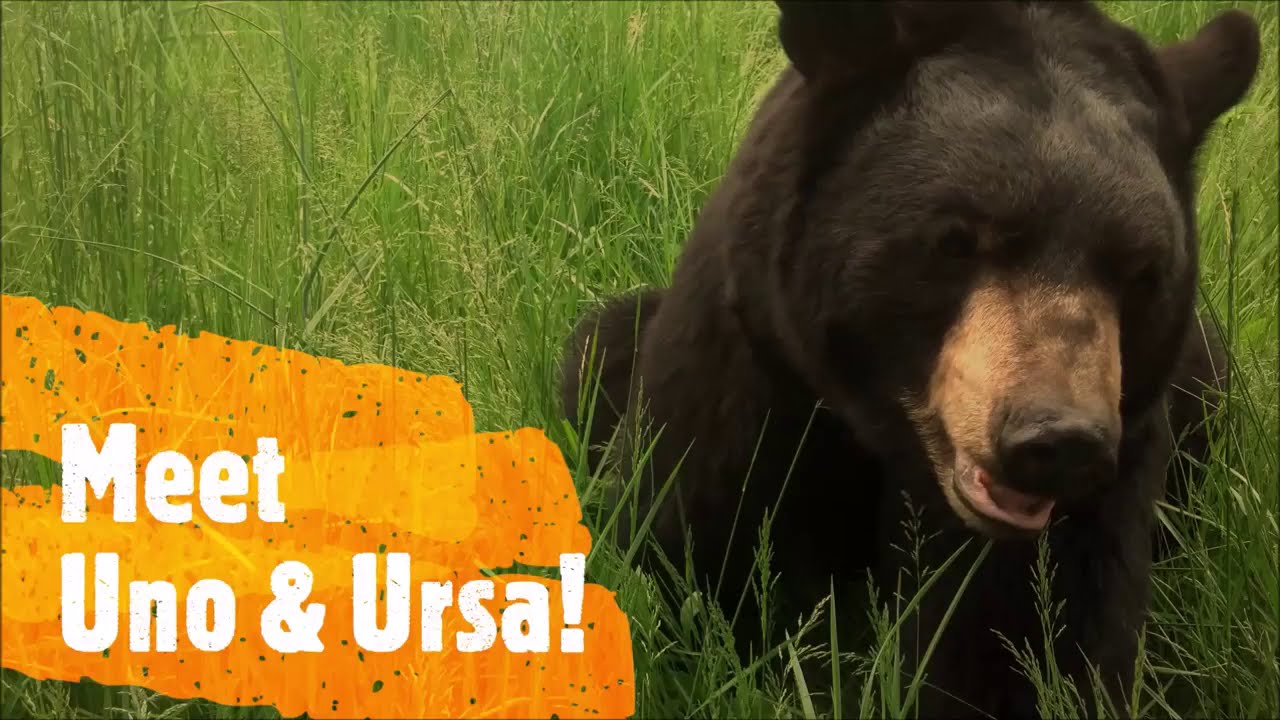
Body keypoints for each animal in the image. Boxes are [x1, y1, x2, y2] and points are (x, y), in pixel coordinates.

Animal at [559, 2, 1258, 717]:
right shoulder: (742, 390)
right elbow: (689, 555)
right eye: (957, 240)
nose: (1060, 440)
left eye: (1142, 273)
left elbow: (1042, 638)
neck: (886, 436)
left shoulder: (1108, 483)